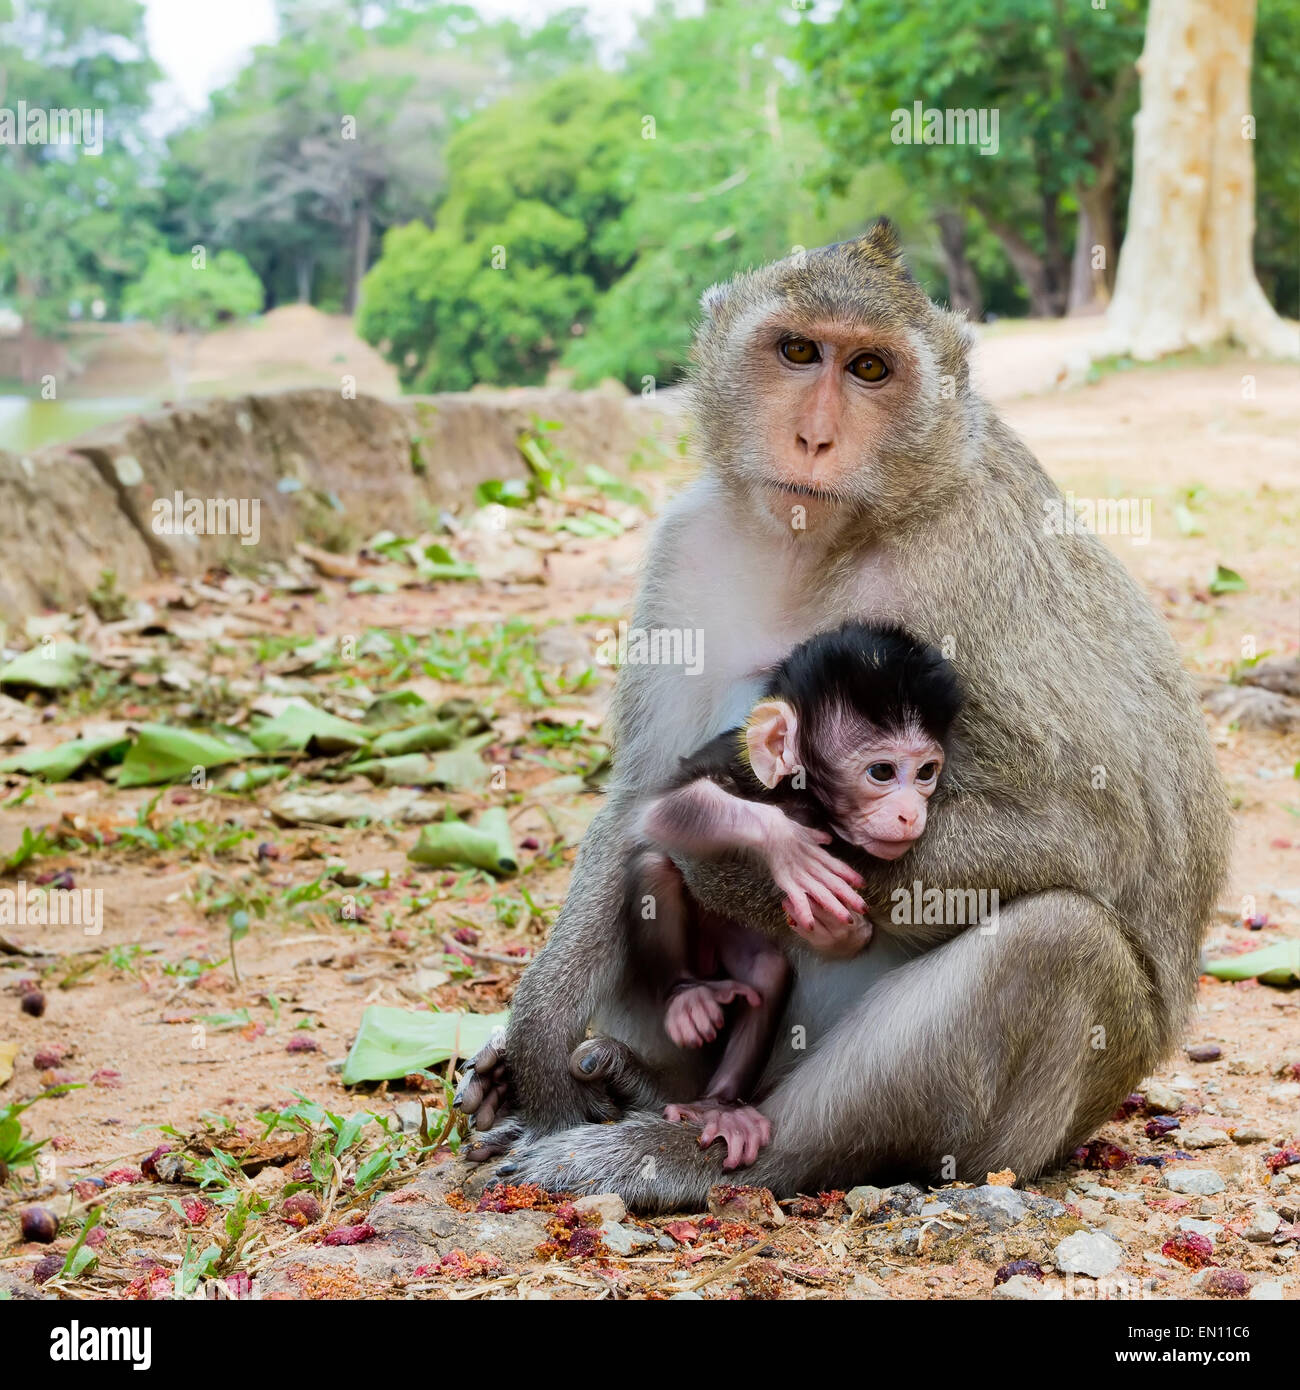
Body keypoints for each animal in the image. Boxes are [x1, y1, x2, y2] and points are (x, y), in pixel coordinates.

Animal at [627, 621, 961, 1169]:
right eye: (882, 772)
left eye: (926, 772)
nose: (912, 812)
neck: (798, 796)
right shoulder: (732, 756)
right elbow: (664, 809)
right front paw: (787, 843)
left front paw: (840, 931)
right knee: (656, 866)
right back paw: (687, 995)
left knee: (768, 971)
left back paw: (721, 1107)